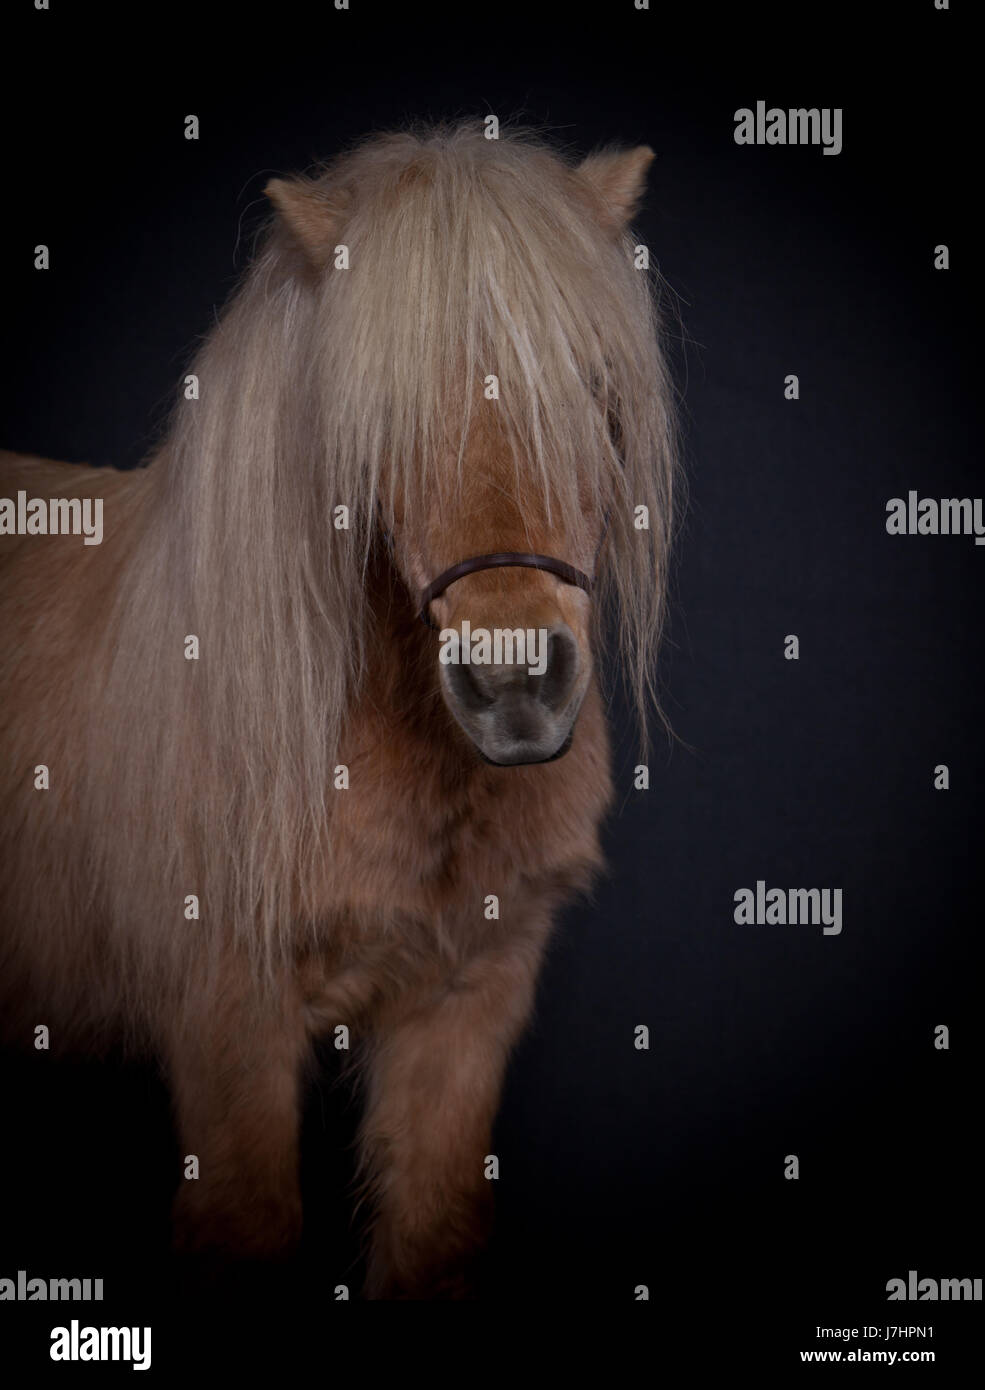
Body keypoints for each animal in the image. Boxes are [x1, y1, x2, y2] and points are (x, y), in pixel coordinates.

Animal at [0, 122, 676, 1298]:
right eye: (378, 418)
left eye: (594, 385)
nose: (515, 690)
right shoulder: (226, 1026)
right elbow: (247, 1218)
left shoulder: (463, 1007)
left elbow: (432, 1228)